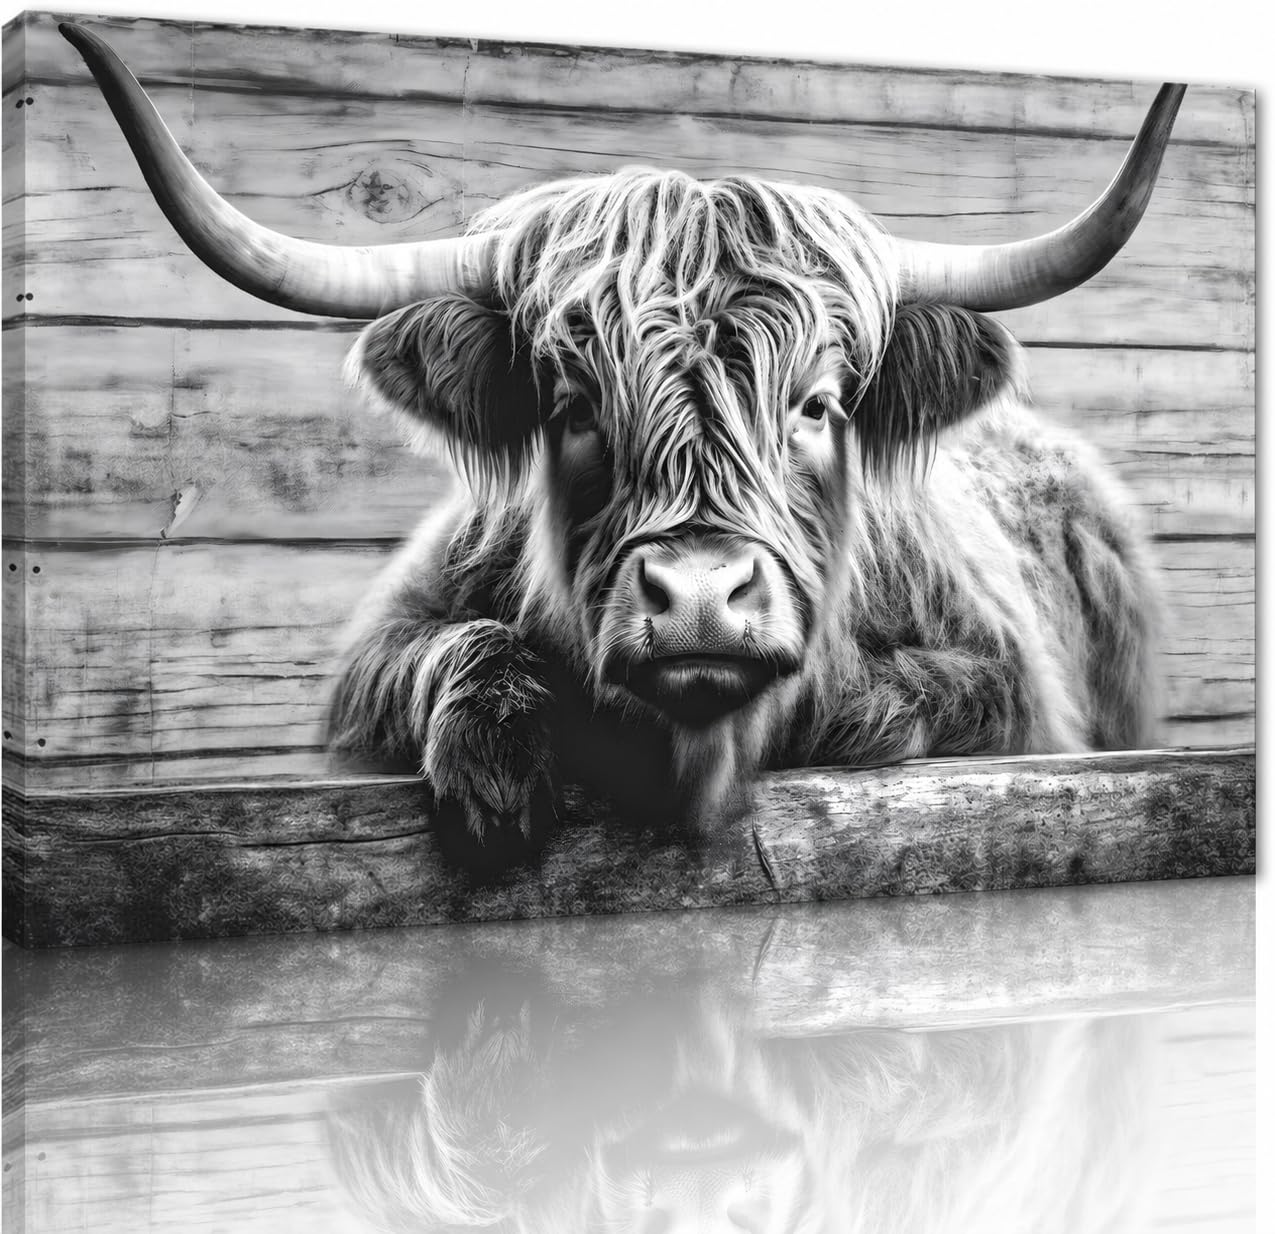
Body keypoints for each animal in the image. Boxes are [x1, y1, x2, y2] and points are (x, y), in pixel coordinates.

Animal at [64, 24, 1178, 870]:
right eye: (572, 404)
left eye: (816, 405)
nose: (700, 599)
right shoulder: (374, 667)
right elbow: (447, 649)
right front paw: (498, 767)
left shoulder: (1012, 686)